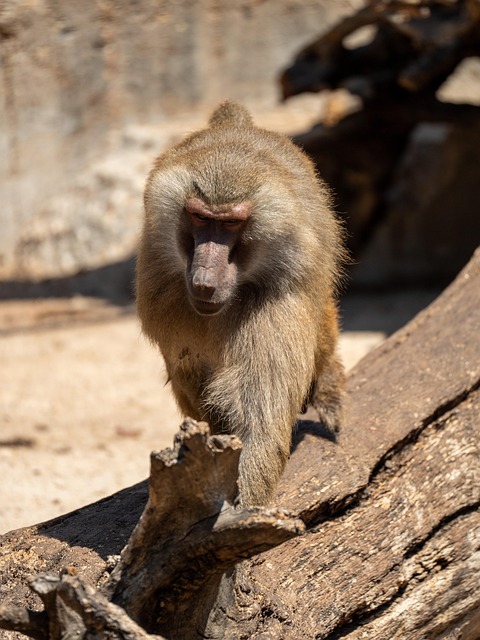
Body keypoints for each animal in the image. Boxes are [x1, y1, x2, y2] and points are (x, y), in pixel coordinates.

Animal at [136, 101, 346, 506]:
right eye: (200, 217)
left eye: (231, 224)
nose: (203, 280)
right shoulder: (166, 296)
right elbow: (192, 377)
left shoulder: (278, 299)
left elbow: (259, 422)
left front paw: (242, 511)